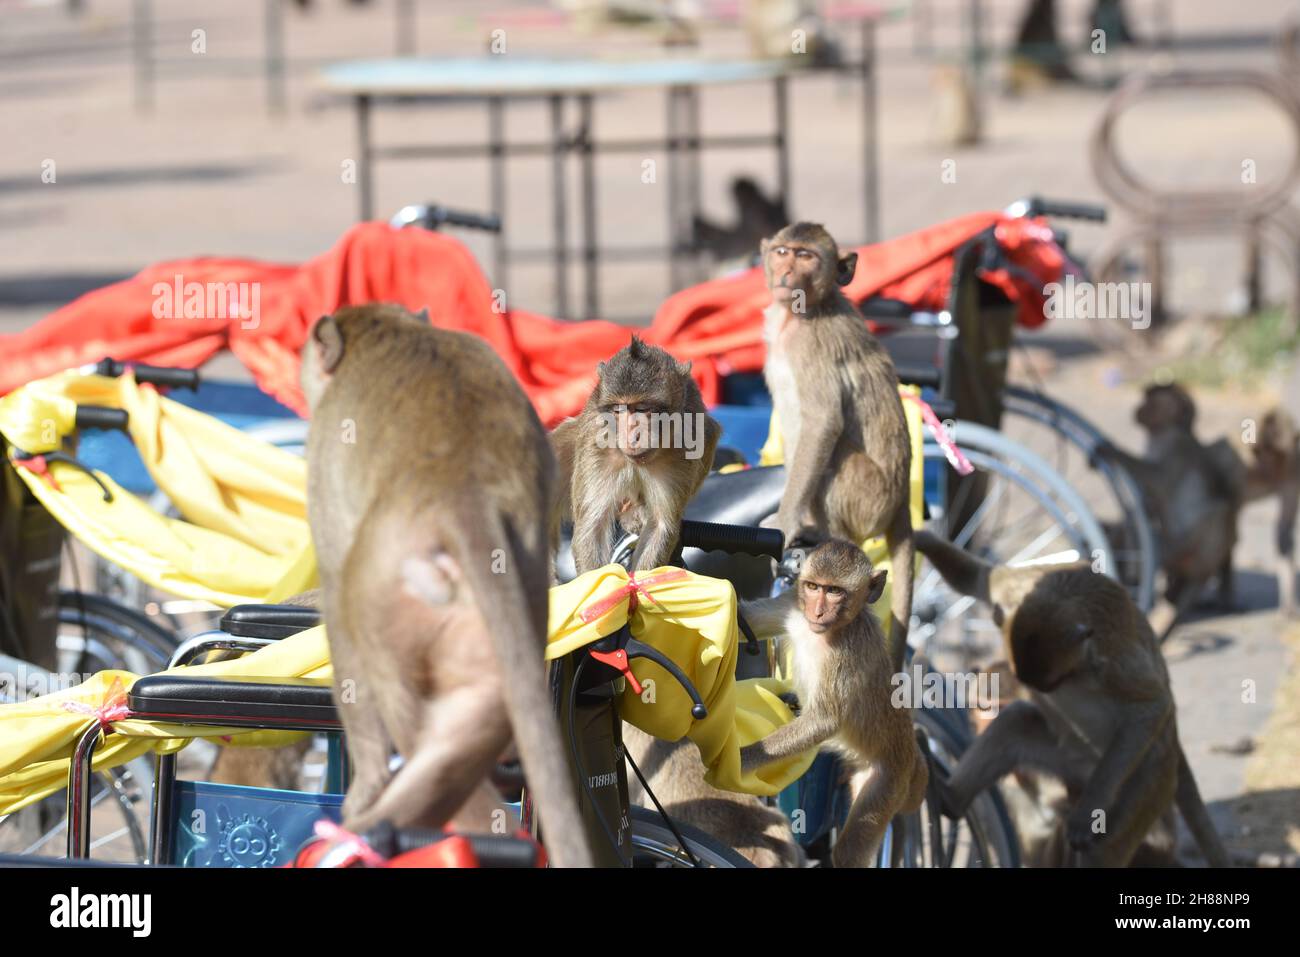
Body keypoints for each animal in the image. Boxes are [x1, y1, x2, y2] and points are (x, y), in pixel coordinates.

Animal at [551, 337, 721, 575]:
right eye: (618, 410)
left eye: (642, 408)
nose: (631, 433)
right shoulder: (596, 440)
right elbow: (592, 526)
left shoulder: (688, 441)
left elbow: (660, 525)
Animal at [738, 540, 928, 867]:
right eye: (814, 586)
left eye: (835, 591)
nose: (817, 611)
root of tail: (910, 755)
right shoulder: (792, 603)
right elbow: (747, 619)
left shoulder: (846, 653)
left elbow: (824, 720)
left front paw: (741, 759)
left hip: (887, 781)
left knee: (849, 851)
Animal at [761, 222, 915, 670]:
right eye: (783, 252)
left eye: (807, 257)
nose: (787, 273)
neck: (798, 315)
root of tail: (902, 500)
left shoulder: (813, 344)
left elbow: (823, 422)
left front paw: (786, 523)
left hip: (871, 498)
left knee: (837, 455)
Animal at [914, 530, 1231, 868]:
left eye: (1054, 682)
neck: (1060, 597)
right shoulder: (1016, 593)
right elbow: (977, 577)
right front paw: (921, 539)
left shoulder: (1112, 662)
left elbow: (1152, 705)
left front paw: (1086, 816)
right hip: (1066, 759)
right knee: (1017, 722)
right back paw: (951, 799)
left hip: (1146, 777)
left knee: (1104, 843)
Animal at [1094, 382, 1239, 640]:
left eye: (1151, 401)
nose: (1138, 408)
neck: (1167, 431)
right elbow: (1147, 501)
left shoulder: (1175, 448)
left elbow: (1158, 481)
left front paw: (1111, 450)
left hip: (1197, 548)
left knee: (1217, 513)